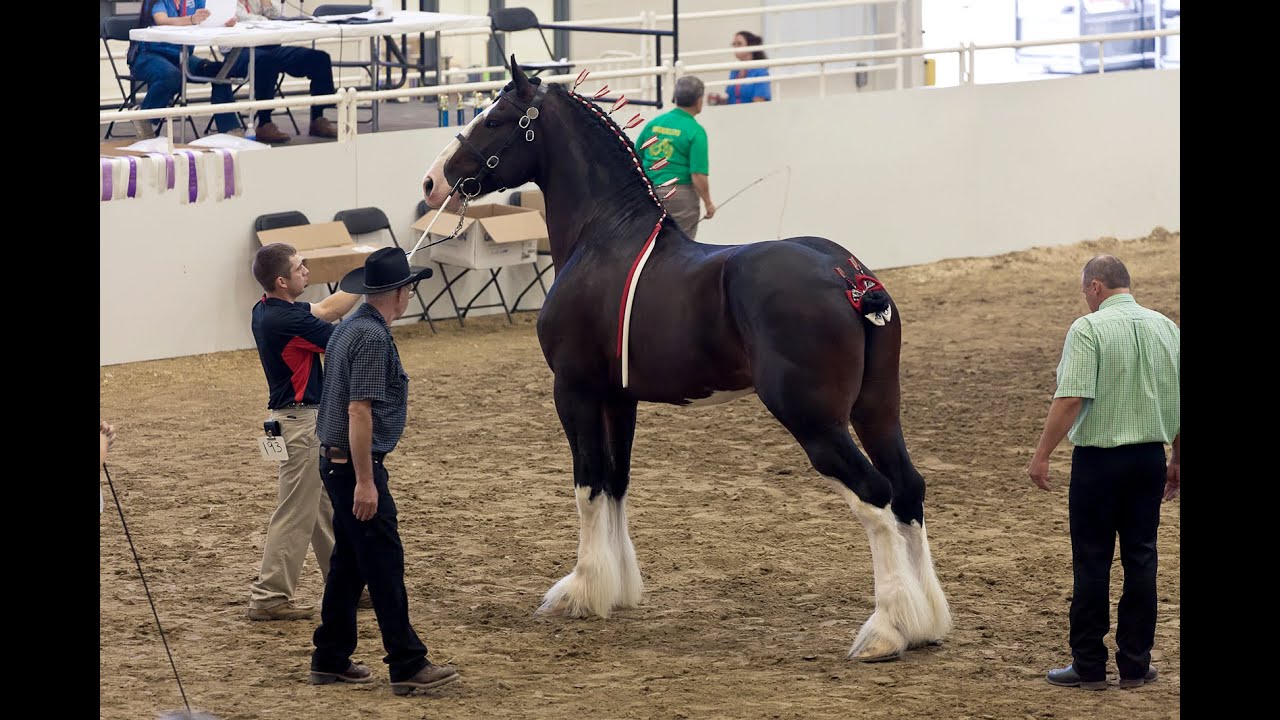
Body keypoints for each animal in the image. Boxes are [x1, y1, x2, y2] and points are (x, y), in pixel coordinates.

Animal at [420, 58, 951, 662]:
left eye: (495, 119)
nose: (433, 182)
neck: (604, 237)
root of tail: (849, 277)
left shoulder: (574, 390)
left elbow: (587, 484)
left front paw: (580, 590)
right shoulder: (618, 398)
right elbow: (616, 481)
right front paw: (617, 589)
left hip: (816, 421)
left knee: (875, 495)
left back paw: (887, 629)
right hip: (877, 407)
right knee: (908, 488)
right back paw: (926, 622)